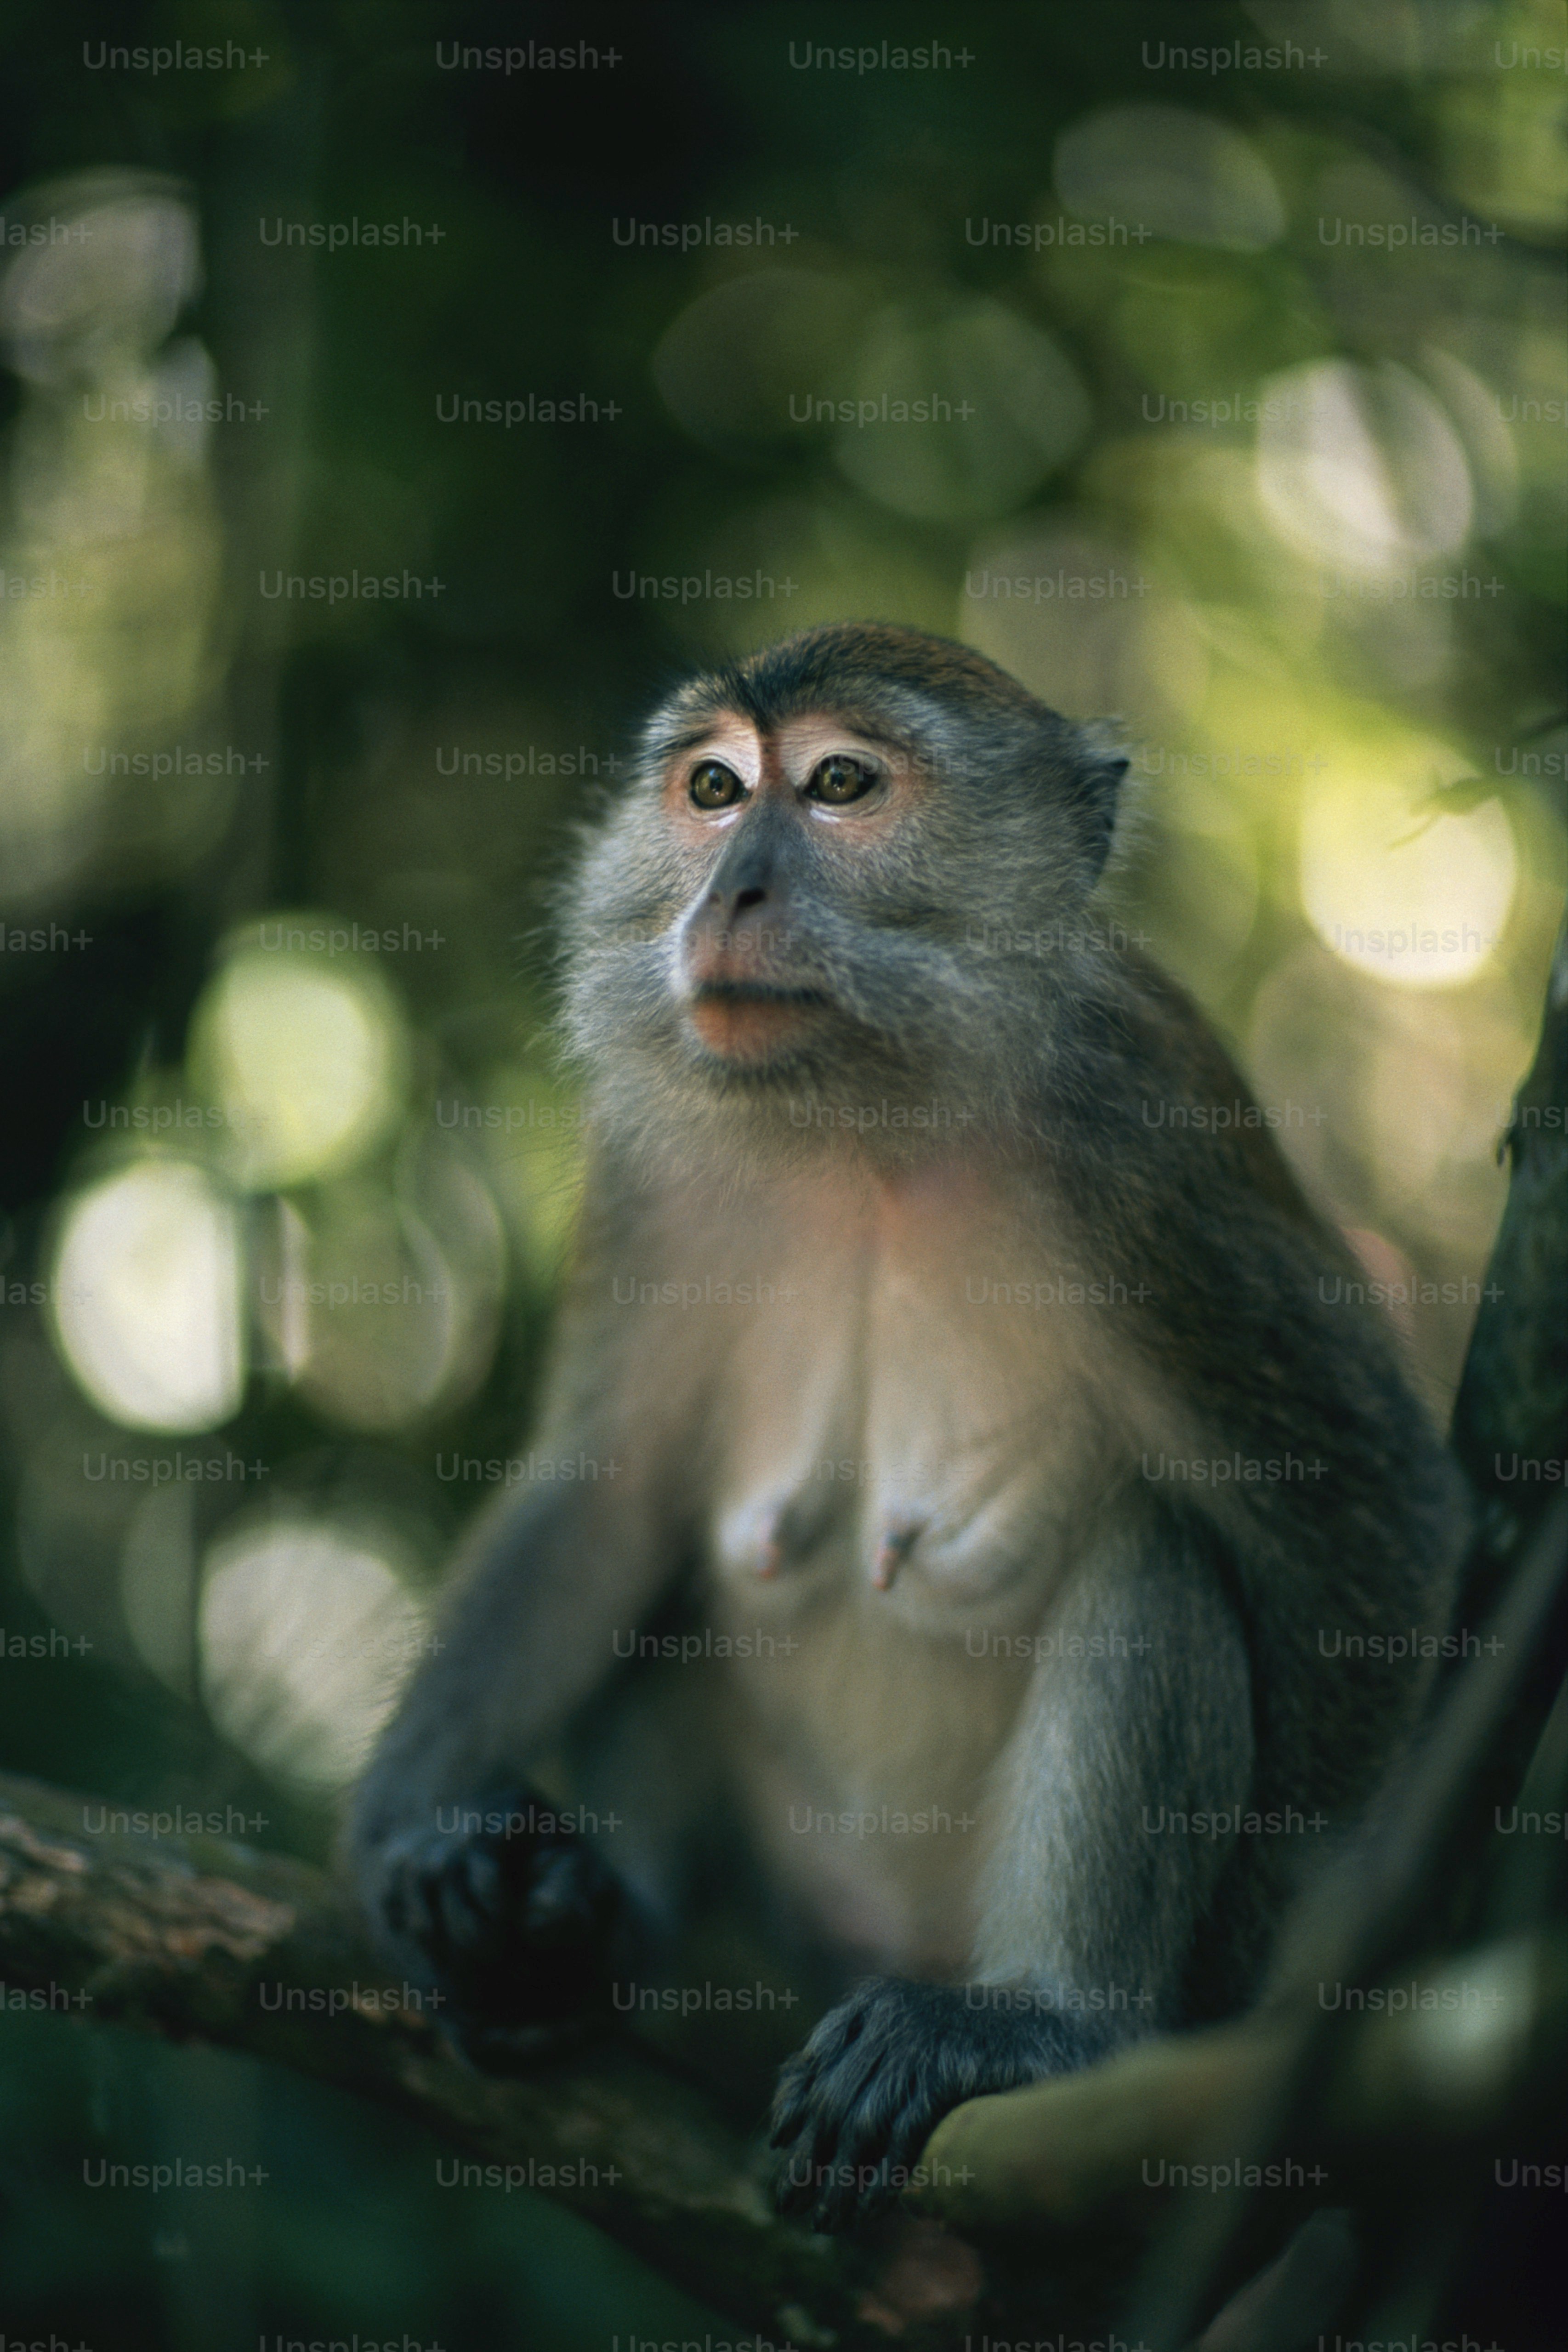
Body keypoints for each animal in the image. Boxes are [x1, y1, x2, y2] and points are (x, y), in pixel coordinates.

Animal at [349, 621, 1467, 2233]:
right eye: (711, 788)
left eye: (837, 785)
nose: (728, 891)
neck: (859, 1120)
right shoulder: (649, 1164)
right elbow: (607, 1491)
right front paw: (412, 1833)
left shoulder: (1139, 1152)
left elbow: (1368, 1511)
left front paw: (1231, 2013)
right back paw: (577, 1934)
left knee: (1156, 1558)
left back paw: (1034, 2022)